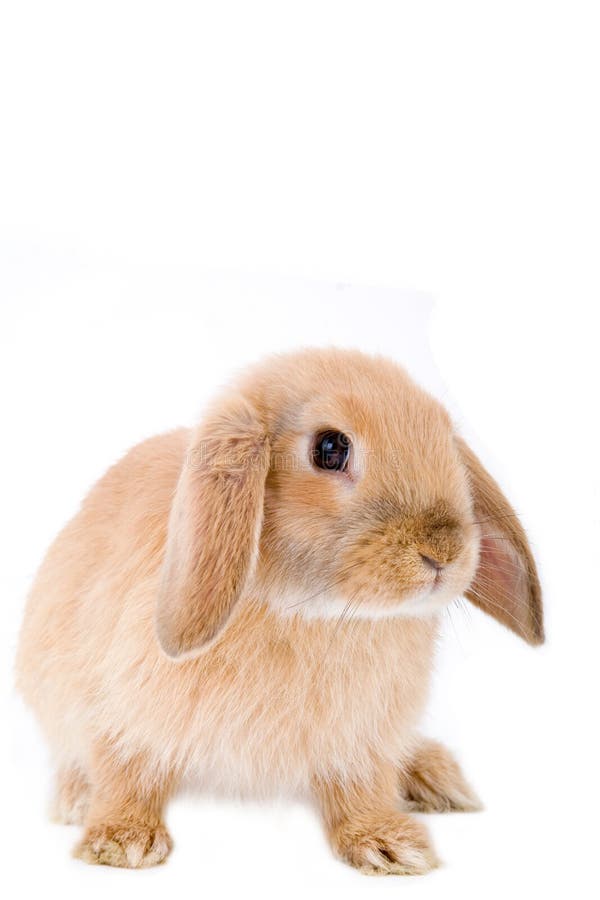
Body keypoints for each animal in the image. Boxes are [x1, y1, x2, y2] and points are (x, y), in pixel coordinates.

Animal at [16, 348, 543, 875]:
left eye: (445, 439)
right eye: (330, 449)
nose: (443, 552)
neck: (312, 610)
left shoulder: (361, 742)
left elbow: (363, 789)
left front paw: (389, 844)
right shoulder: (118, 708)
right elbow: (124, 769)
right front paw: (121, 842)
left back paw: (435, 777)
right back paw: (76, 800)